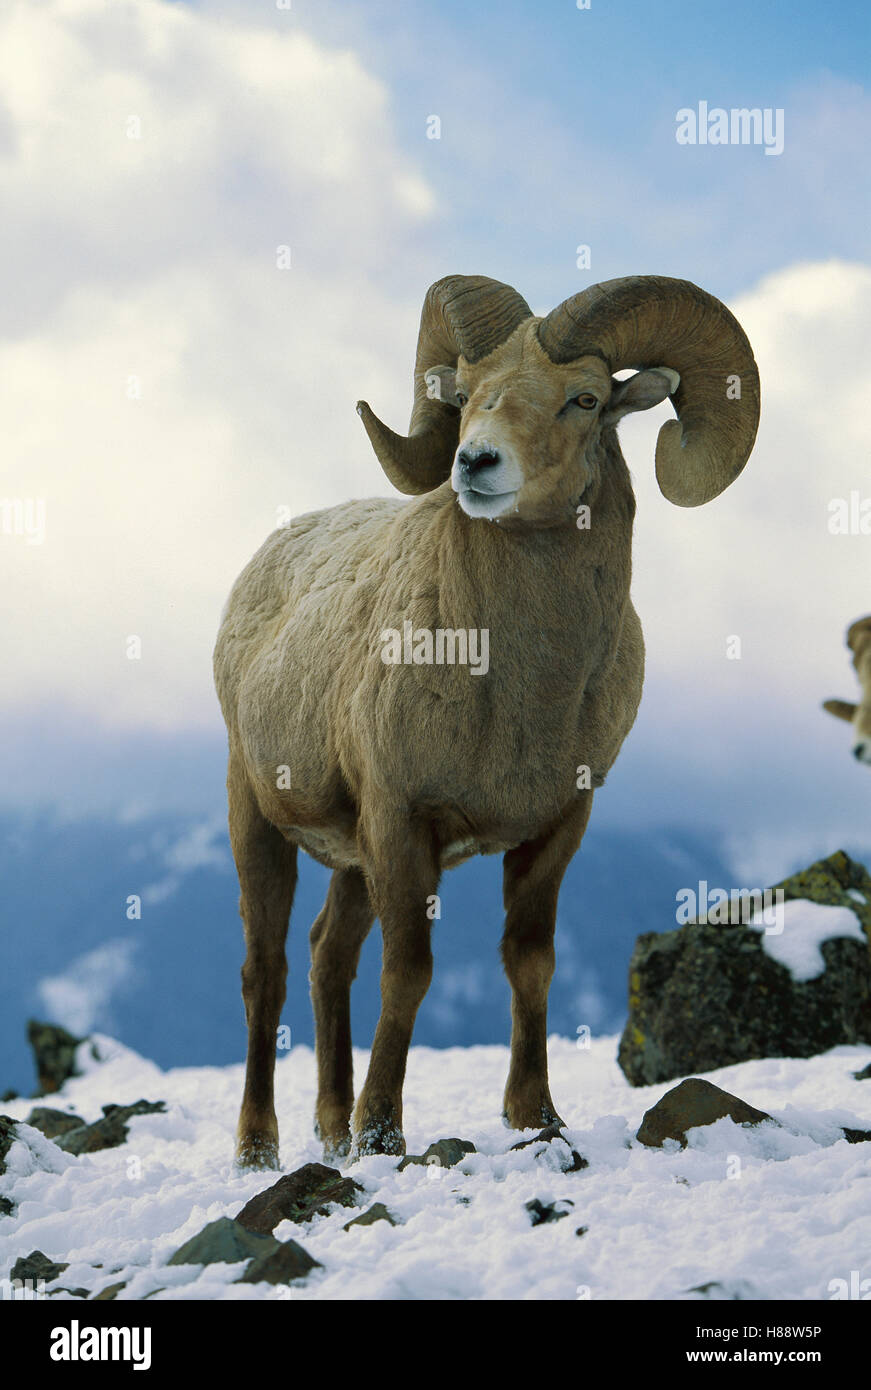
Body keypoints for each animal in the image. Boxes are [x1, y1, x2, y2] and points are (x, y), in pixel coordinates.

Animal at [213, 273, 760, 1169]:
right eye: (466, 395)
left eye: (583, 398)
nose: (474, 462)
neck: (520, 689)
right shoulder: (402, 823)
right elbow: (410, 972)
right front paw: (384, 1134)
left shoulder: (556, 825)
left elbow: (528, 965)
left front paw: (535, 1117)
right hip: (257, 819)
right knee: (266, 972)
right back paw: (263, 1148)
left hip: (349, 858)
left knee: (329, 958)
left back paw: (330, 1135)